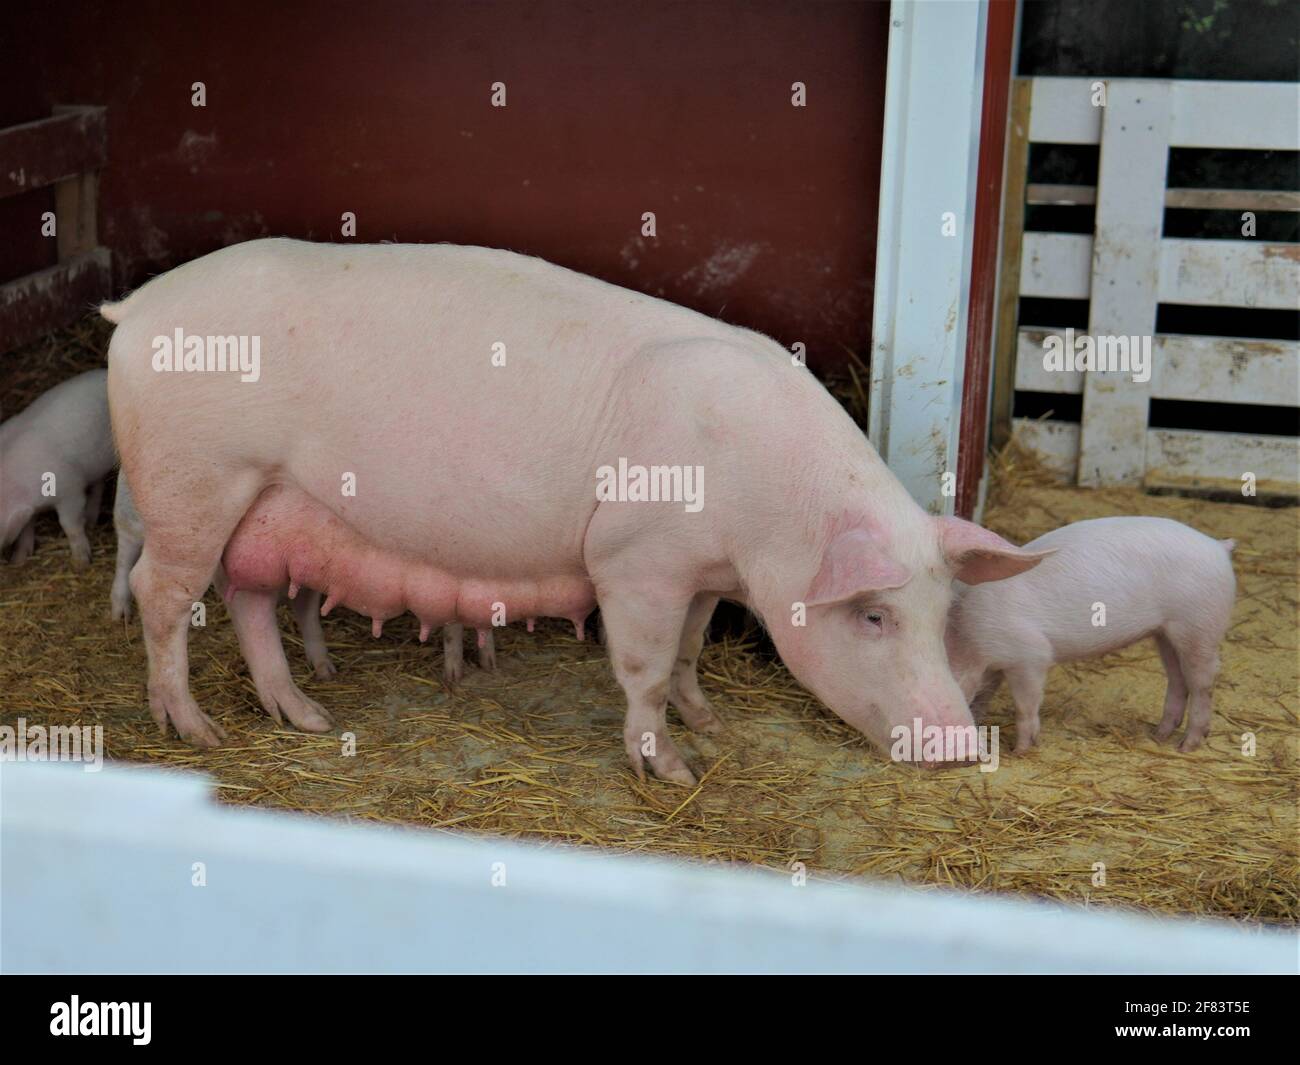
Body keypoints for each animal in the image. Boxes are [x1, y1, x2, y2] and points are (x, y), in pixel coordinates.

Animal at [1, 368, 114, 566]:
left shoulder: (70, 489)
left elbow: (70, 524)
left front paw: (81, 563)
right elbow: (26, 530)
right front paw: (18, 560)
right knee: (99, 485)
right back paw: (91, 521)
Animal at [945, 516, 1237, 754]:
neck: (967, 638)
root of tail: (1218, 546)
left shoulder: (1030, 655)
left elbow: (1025, 705)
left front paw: (1020, 751)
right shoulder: (996, 665)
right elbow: (983, 697)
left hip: (1200, 625)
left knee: (1203, 682)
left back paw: (1186, 746)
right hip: (1166, 633)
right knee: (1178, 680)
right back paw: (1159, 735)